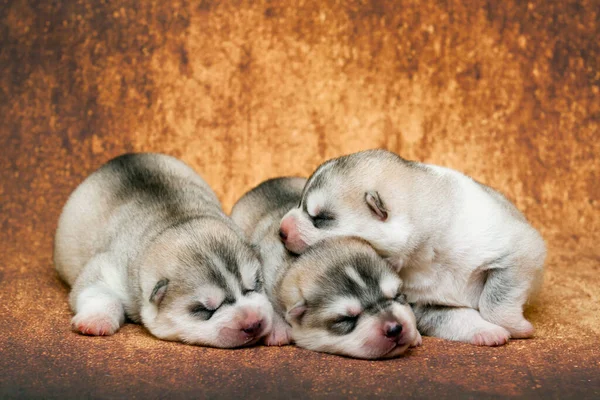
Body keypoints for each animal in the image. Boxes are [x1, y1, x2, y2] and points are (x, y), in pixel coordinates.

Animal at [54, 153, 274, 346]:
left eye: (255, 285)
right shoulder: (107, 268)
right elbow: (96, 290)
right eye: (204, 309)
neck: (176, 221)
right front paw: (96, 321)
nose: (254, 324)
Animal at [278, 150, 548, 346]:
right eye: (299, 203)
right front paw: (488, 332)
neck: (427, 252)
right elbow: (454, 316)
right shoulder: (422, 304)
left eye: (320, 218)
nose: (281, 230)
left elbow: (495, 302)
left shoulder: (518, 251)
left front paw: (518, 328)